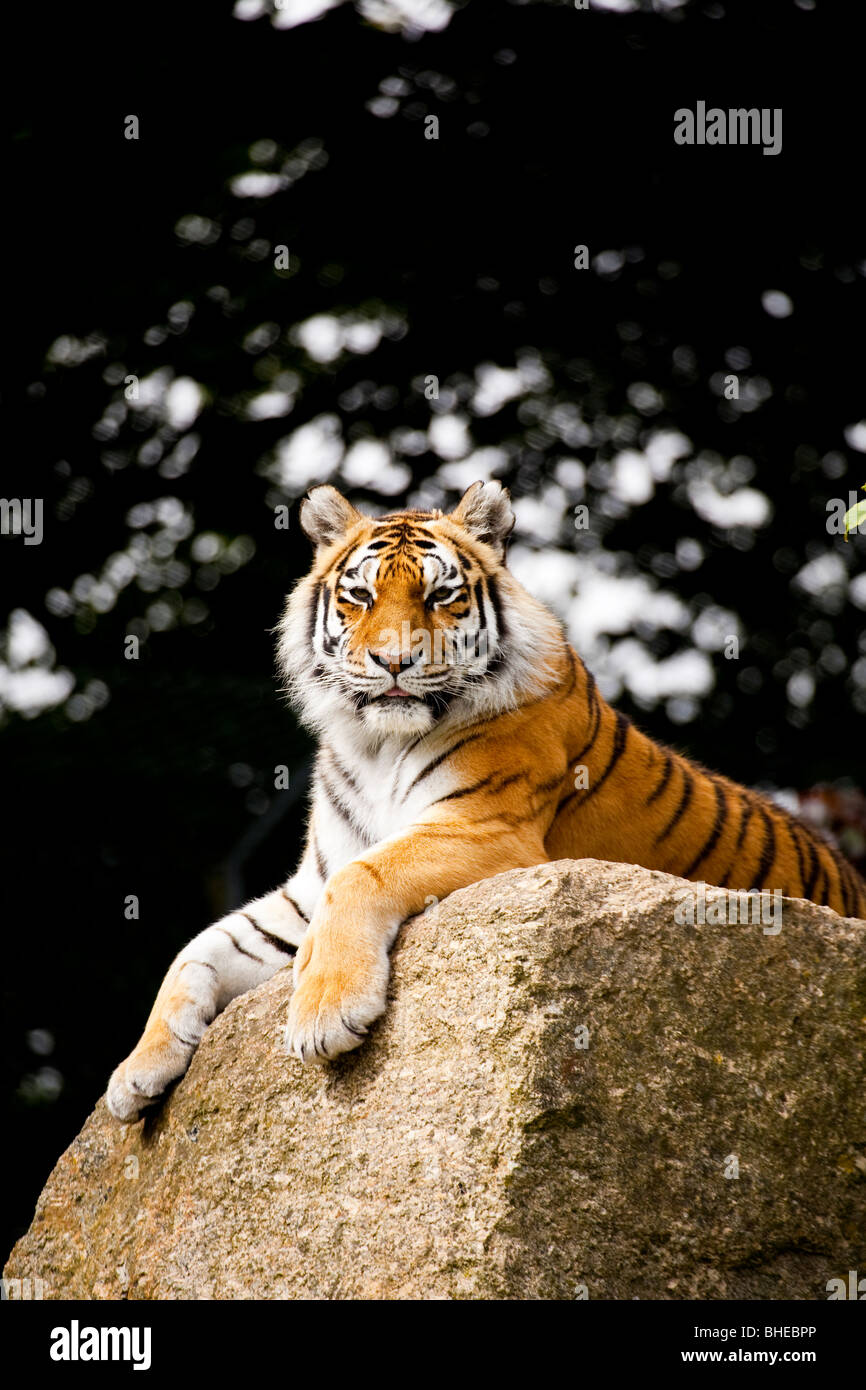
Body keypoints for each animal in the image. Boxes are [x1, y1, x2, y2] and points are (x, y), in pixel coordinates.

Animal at [106, 480, 866, 1121]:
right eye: (359, 597)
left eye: (440, 597)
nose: (393, 661)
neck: (375, 745)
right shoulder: (305, 890)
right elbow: (196, 950)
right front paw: (135, 1073)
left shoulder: (489, 829)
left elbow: (363, 878)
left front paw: (322, 1015)